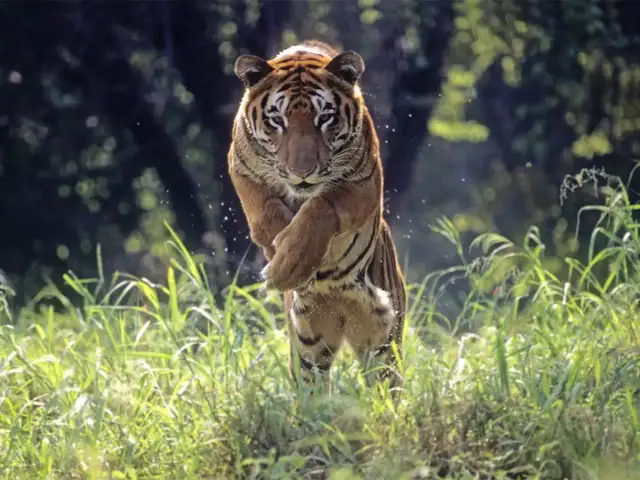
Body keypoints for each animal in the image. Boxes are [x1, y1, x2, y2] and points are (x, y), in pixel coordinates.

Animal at [227, 39, 407, 395]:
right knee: (313, 386)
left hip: (383, 338)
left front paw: (291, 263)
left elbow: (320, 207)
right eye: (277, 121)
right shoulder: (241, 167)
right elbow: (266, 212)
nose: (302, 172)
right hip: (310, 341)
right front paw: (280, 261)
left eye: (325, 118)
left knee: (384, 384)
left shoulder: (363, 184)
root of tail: (340, 305)